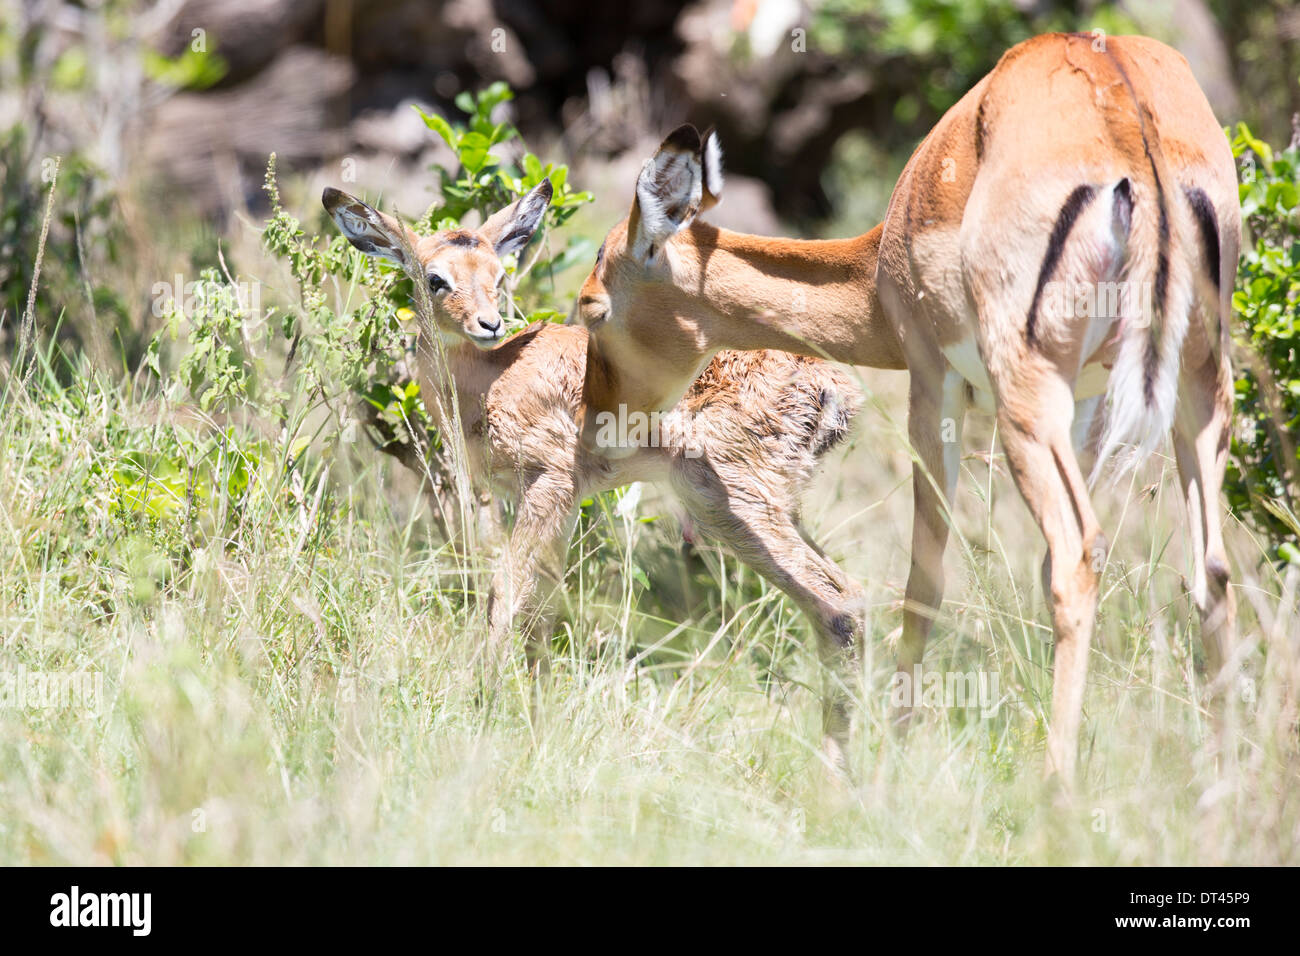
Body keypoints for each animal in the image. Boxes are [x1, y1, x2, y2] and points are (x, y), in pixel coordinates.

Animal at [323, 181, 868, 769]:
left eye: (497, 273)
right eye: (434, 277)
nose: (489, 324)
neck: (492, 378)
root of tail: (834, 389)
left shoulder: (550, 482)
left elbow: (505, 588)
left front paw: (480, 704)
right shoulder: (558, 500)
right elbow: (541, 605)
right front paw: (536, 715)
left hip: (728, 501)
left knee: (840, 597)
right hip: (765, 506)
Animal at [574, 33, 1239, 784]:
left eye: (592, 306)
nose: (599, 418)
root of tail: (1129, 122)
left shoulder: (933, 384)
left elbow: (924, 579)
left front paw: (890, 760)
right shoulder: (1089, 407)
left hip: (1030, 395)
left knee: (1078, 555)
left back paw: (1055, 789)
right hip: (1198, 387)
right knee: (1210, 573)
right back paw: (1218, 785)